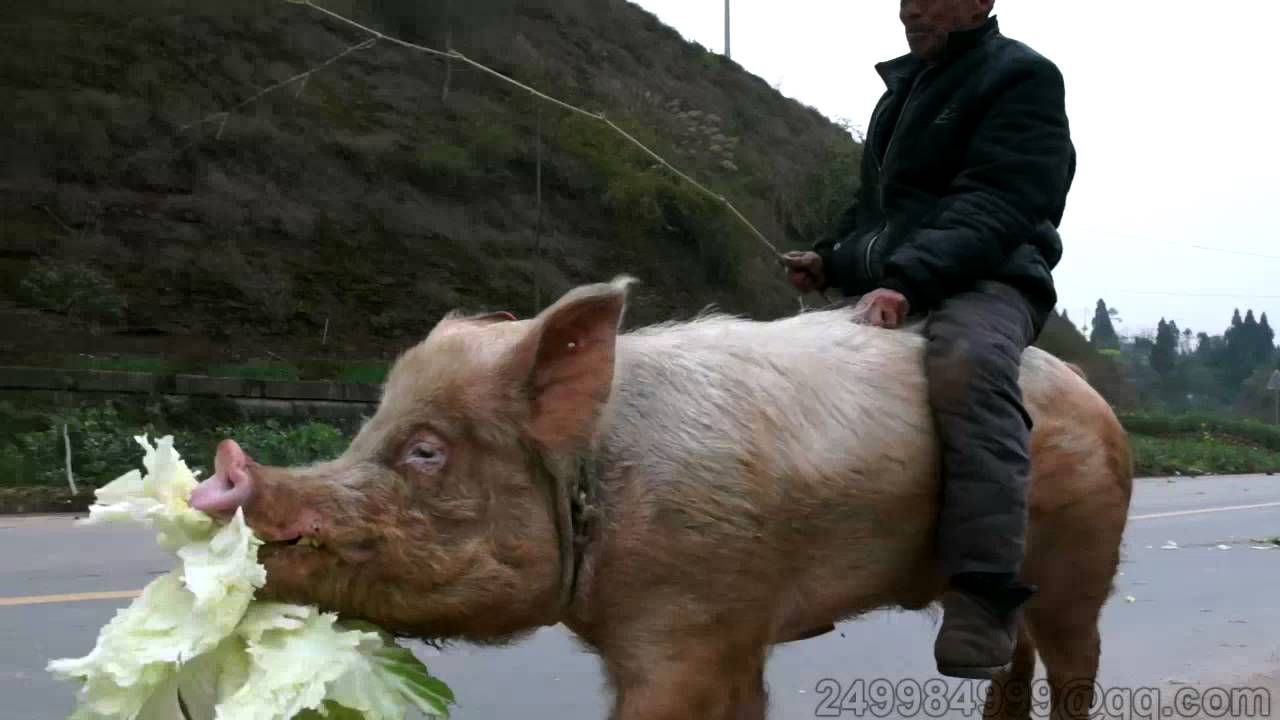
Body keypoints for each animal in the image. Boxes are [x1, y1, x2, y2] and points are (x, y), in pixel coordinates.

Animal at [190, 276, 1133, 720]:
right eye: (368, 427)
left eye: (425, 450)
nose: (225, 464)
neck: (591, 478)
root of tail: (1097, 398)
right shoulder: (732, 627)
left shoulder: (689, 620)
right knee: (1011, 661)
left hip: (1085, 553)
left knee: (1075, 662)